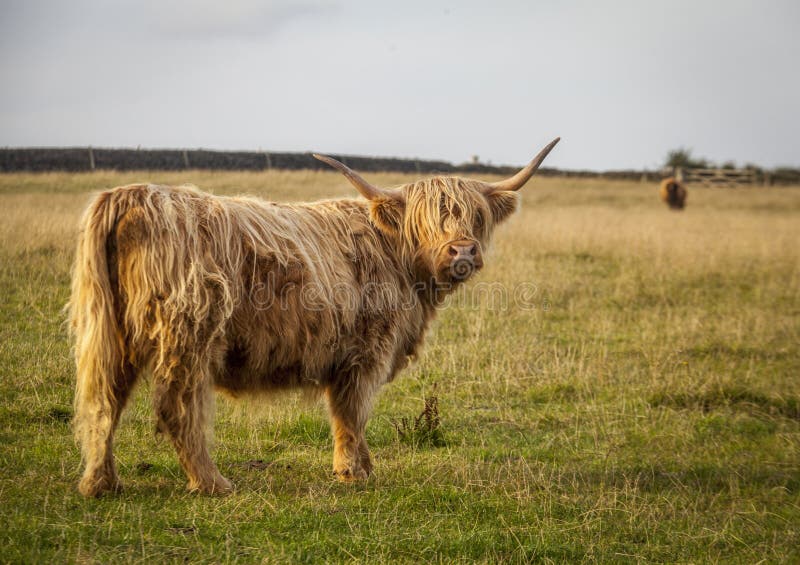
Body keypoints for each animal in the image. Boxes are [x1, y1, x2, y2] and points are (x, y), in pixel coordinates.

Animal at [68, 137, 560, 497]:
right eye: (425, 219)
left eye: (476, 216)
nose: (462, 251)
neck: (400, 262)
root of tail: (130, 194)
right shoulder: (366, 351)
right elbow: (351, 412)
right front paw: (354, 471)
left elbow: (349, 413)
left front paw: (361, 467)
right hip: (188, 334)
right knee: (177, 406)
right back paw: (213, 484)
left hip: (108, 331)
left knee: (103, 398)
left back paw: (100, 483)